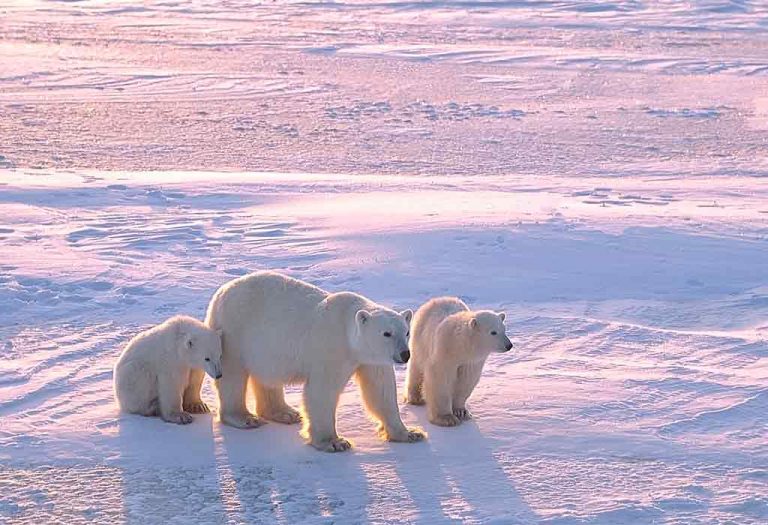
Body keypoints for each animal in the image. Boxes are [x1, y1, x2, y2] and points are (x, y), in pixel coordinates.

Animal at [204, 270, 425, 452]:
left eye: (406, 332)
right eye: (386, 333)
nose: (405, 354)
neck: (347, 330)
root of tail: (221, 292)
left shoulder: (371, 359)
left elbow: (381, 391)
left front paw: (410, 433)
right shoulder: (332, 348)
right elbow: (322, 391)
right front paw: (334, 442)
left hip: (264, 345)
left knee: (267, 376)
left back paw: (285, 413)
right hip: (235, 330)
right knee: (233, 375)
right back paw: (244, 418)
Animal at [404, 297, 513, 427]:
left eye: (504, 329)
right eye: (493, 332)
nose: (509, 345)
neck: (460, 345)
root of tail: (437, 299)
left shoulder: (470, 361)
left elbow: (466, 381)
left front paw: (461, 412)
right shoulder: (445, 353)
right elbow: (440, 379)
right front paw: (446, 418)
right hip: (420, 337)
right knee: (416, 367)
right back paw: (415, 398)